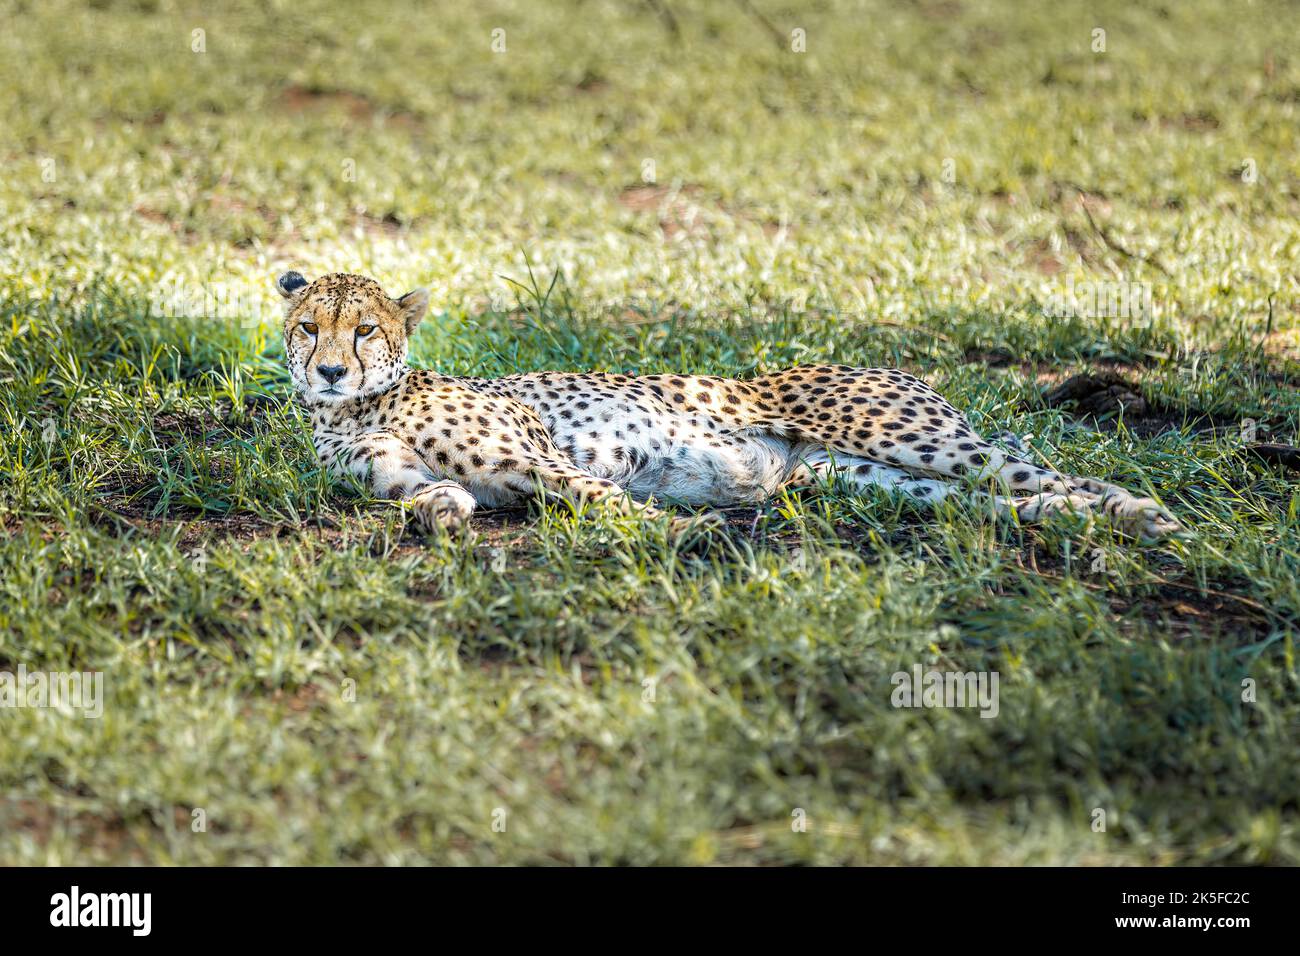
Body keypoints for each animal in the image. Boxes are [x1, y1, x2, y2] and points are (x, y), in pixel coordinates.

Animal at [277, 270, 1182, 540]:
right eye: (308, 327)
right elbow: (428, 495)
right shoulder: (409, 476)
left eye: (363, 329)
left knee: (1043, 471)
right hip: (862, 479)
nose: (329, 371)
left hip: (910, 439)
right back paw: (1086, 524)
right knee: (998, 499)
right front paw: (444, 512)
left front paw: (681, 532)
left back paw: (1144, 514)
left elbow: (602, 497)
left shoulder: (539, 454)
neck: (359, 408)